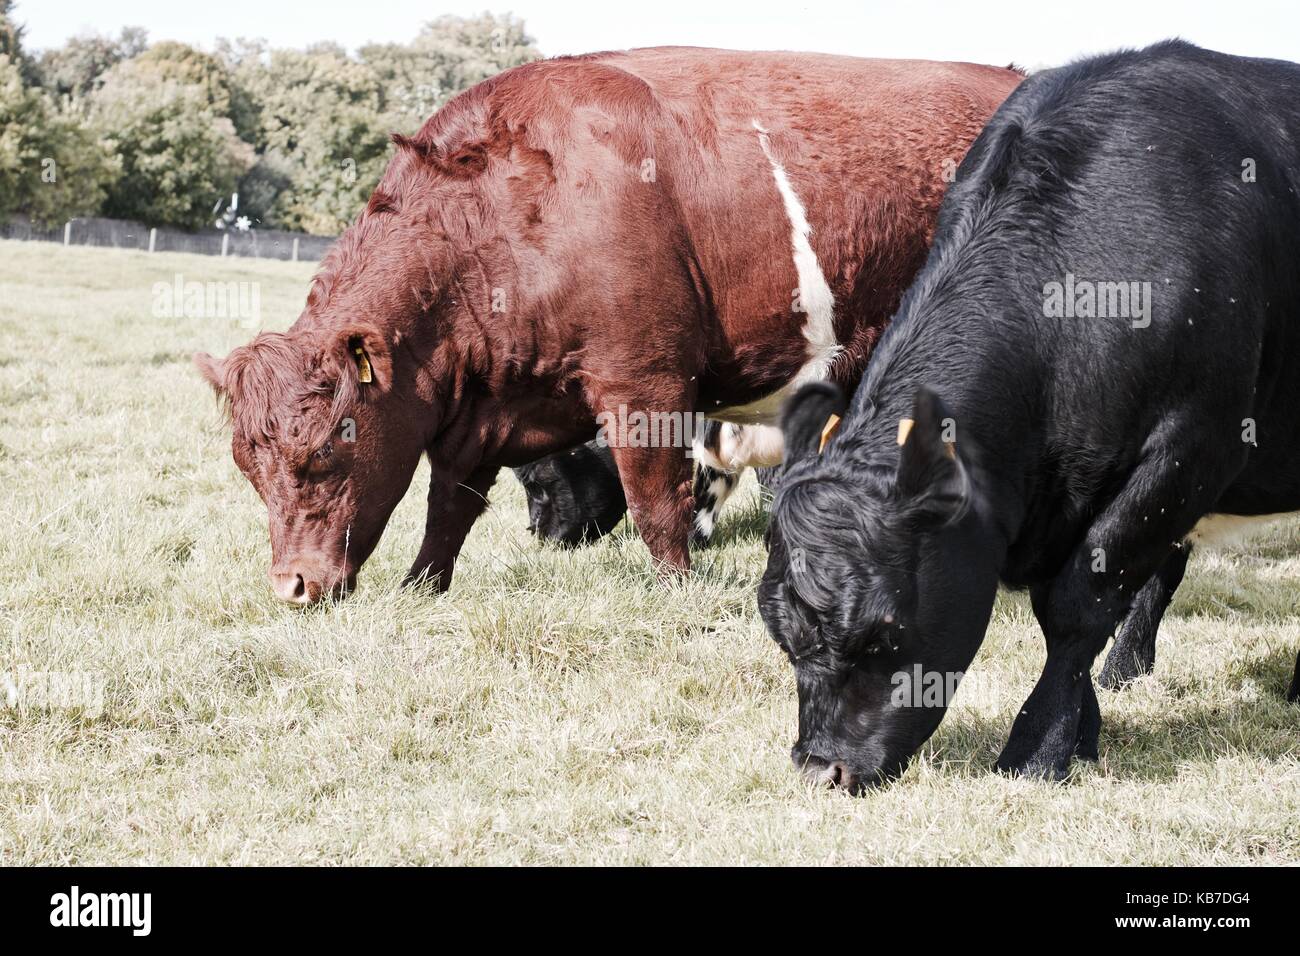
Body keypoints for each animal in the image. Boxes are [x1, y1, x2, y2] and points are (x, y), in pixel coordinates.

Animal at [193, 48, 1022, 603]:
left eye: (323, 456)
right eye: (248, 467)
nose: (292, 587)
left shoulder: (646, 385)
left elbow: (658, 502)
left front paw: (680, 587)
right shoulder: (479, 413)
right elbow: (448, 506)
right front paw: (422, 585)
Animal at [759, 40, 1300, 793]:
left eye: (883, 630)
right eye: (783, 634)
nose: (819, 769)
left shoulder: (1192, 448)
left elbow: (1080, 601)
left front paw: (1038, 748)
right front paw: (1085, 730)